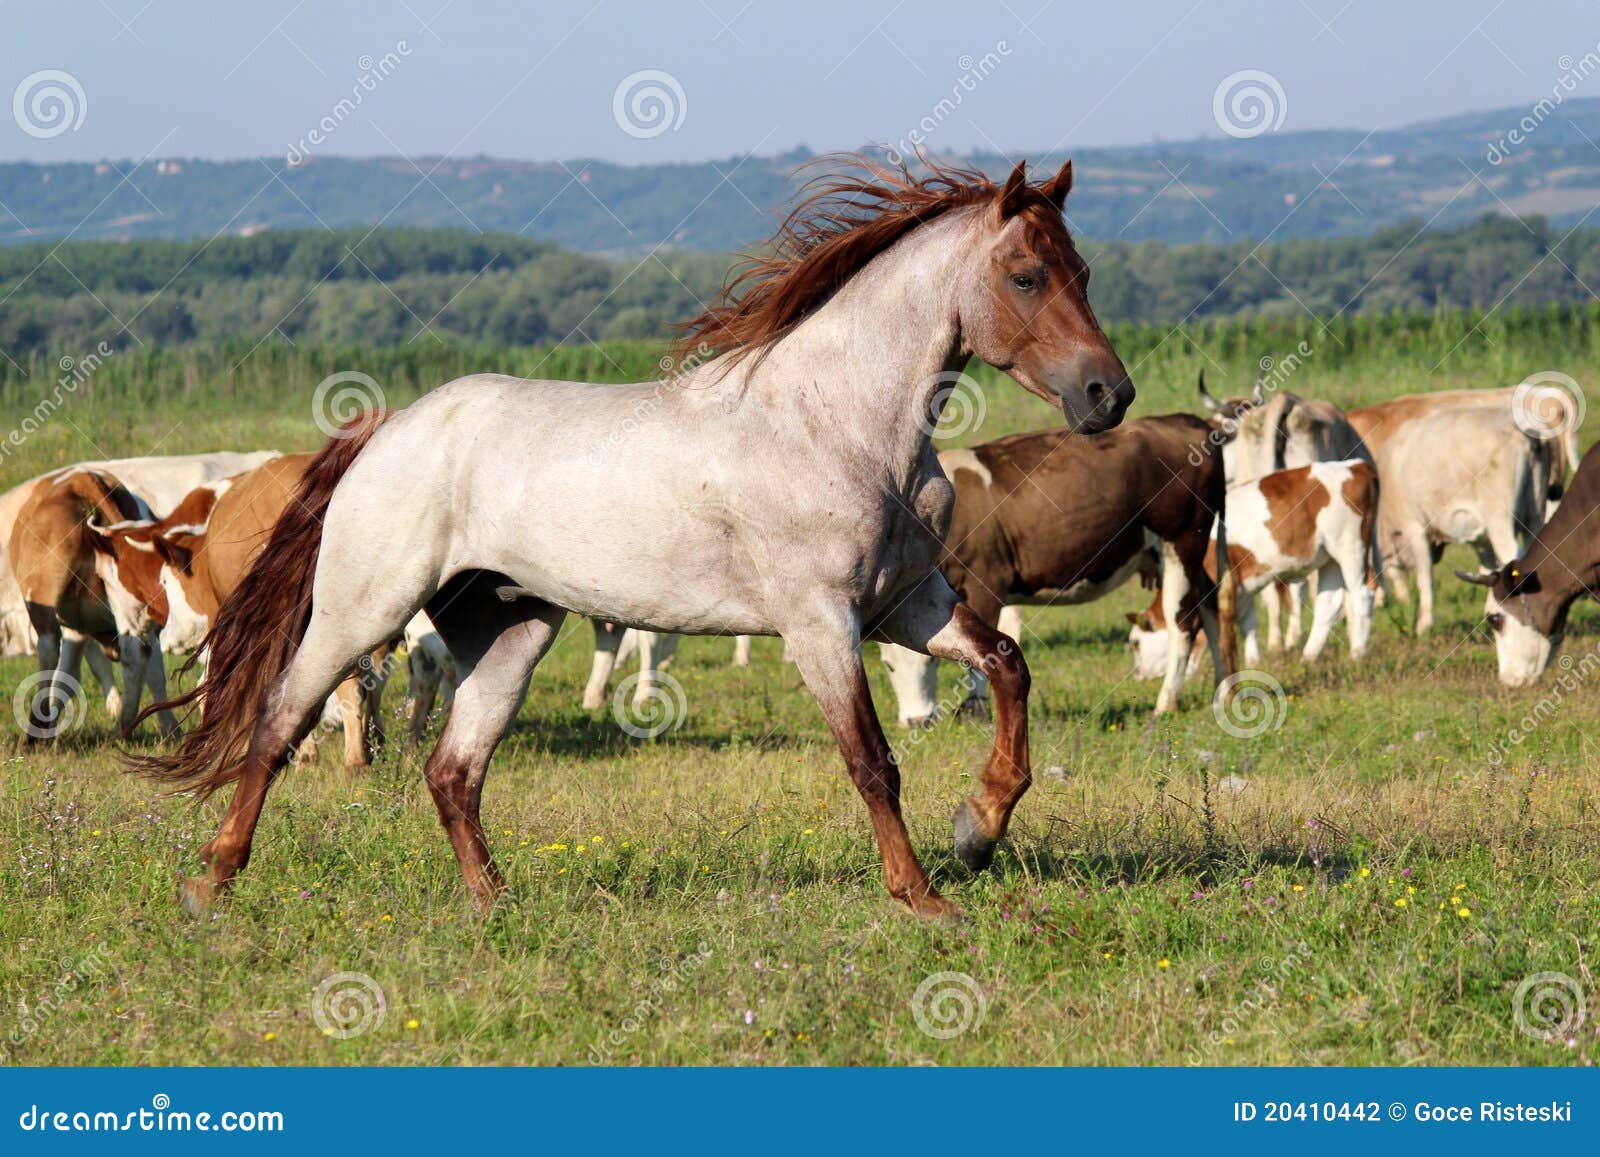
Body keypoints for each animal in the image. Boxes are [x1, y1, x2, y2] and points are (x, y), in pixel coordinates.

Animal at [132, 156, 1134, 920]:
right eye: (1026, 276)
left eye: (1084, 272)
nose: (1108, 395)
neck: (838, 423)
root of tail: (385, 427)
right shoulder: (821, 622)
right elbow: (872, 760)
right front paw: (926, 896)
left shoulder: (907, 604)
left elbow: (1006, 664)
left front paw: (980, 828)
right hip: (362, 610)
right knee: (279, 720)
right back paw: (210, 882)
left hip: (510, 633)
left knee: (453, 769)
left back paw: (495, 902)